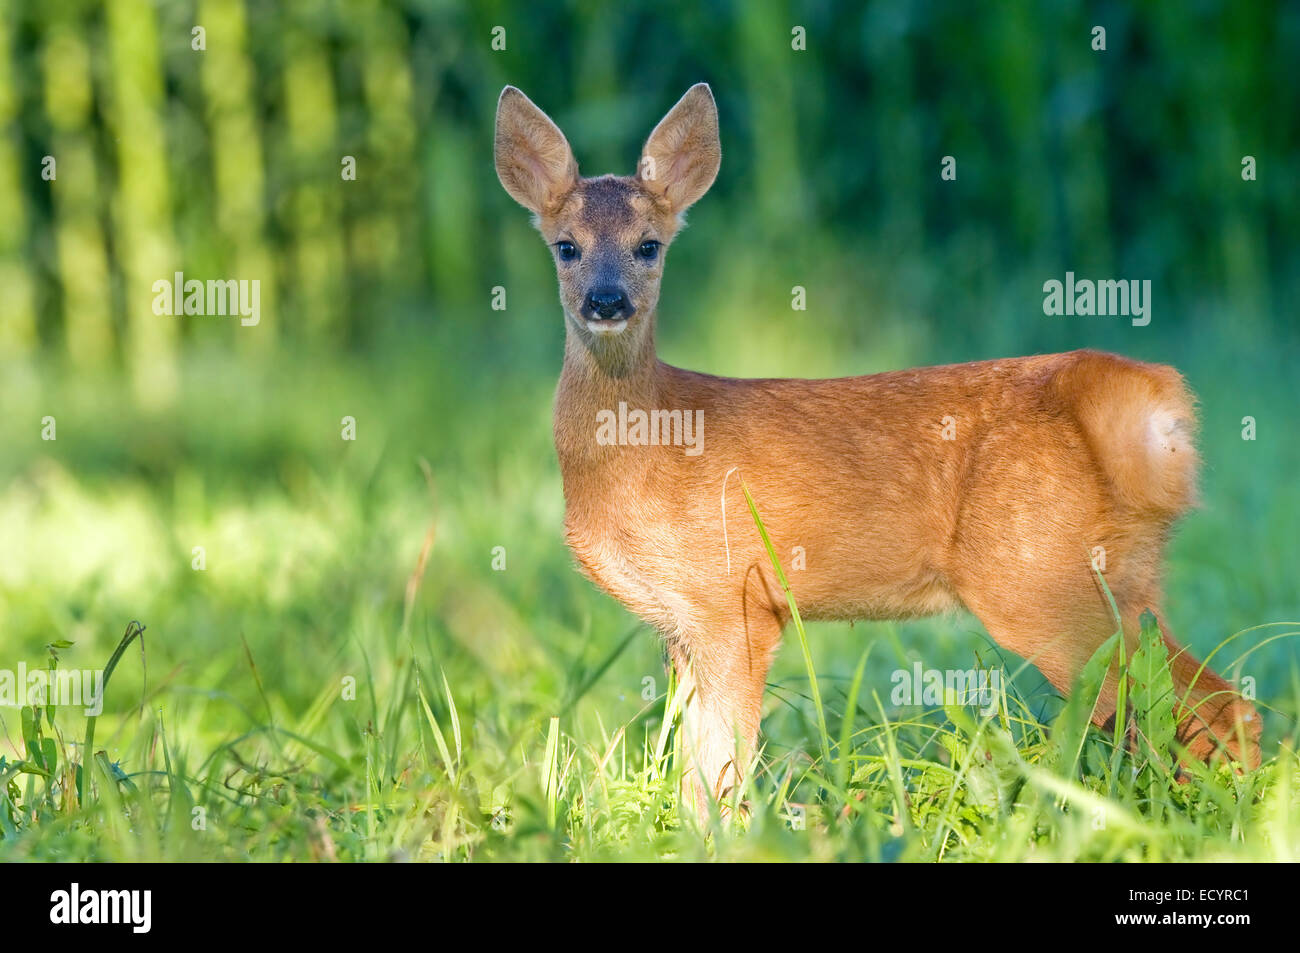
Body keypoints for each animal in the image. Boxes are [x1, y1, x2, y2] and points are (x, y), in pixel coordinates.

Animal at [493, 82, 1262, 821]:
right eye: (566, 246)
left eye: (649, 245)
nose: (606, 300)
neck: (649, 442)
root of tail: (1149, 407)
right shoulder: (680, 627)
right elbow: (691, 768)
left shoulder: (734, 600)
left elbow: (721, 769)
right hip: (1126, 580)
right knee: (1206, 706)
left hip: (1044, 585)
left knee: (1209, 708)